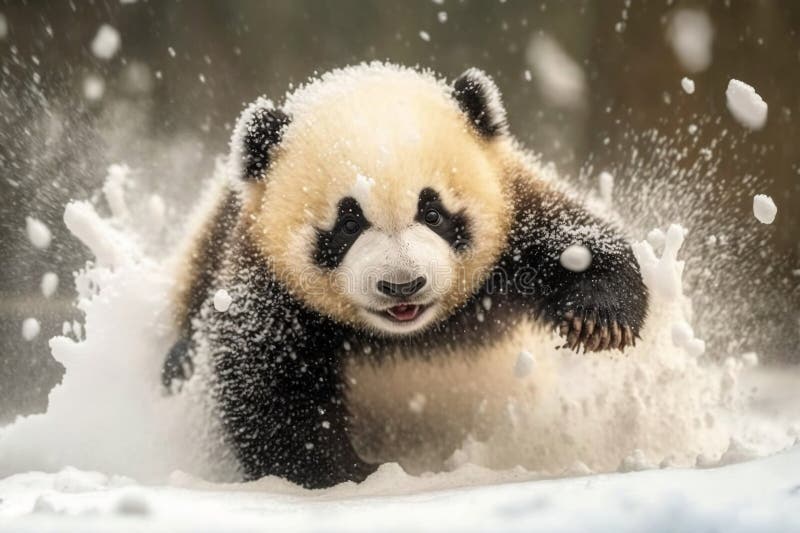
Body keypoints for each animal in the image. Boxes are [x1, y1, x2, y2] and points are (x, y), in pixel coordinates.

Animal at [164, 63, 648, 489]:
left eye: (432, 212)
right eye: (348, 223)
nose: (402, 286)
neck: (408, 337)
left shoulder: (513, 213)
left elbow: (575, 241)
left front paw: (598, 322)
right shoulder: (265, 284)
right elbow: (272, 388)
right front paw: (348, 476)